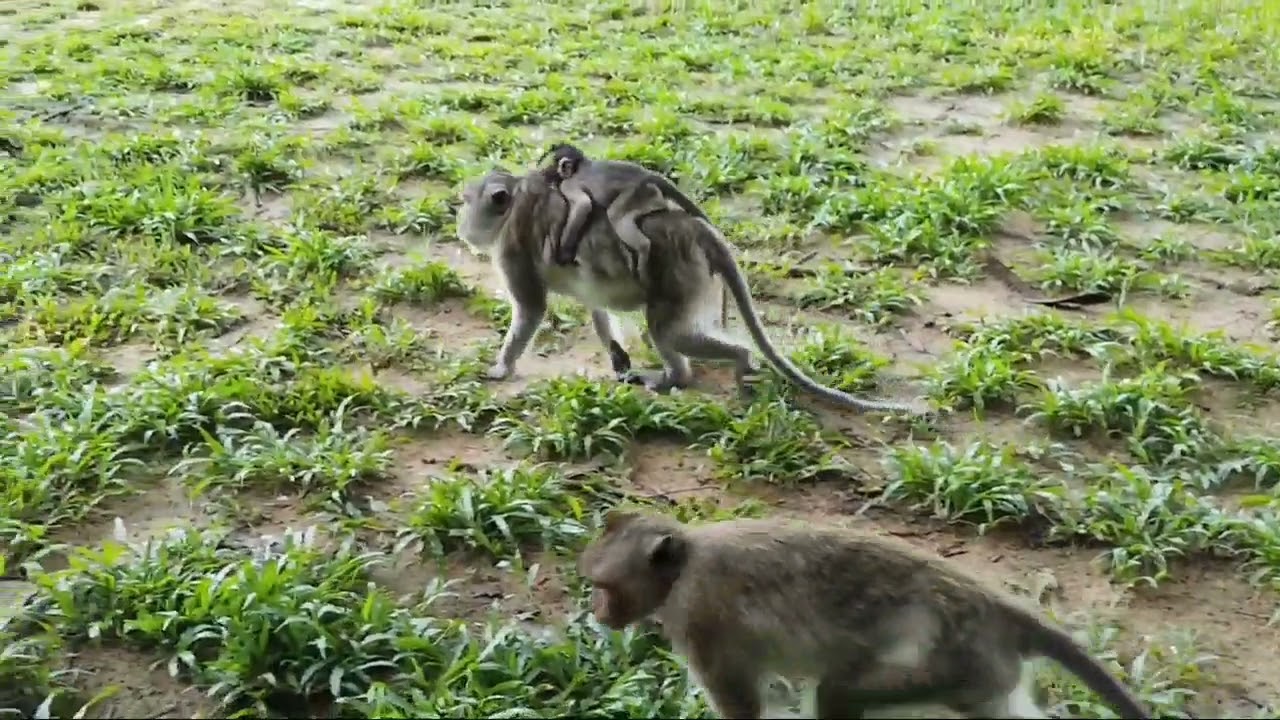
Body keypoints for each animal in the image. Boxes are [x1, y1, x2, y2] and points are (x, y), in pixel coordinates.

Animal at [455, 167, 929, 416]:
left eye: (466, 201)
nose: (457, 217)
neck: (517, 204)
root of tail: (696, 228)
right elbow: (597, 309)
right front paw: (617, 357)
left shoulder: (513, 250)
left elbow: (531, 309)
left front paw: (501, 368)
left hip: (681, 275)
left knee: (666, 332)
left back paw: (716, 366)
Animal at [577, 510, 1152, 720]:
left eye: (604, 588)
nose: (597, 611)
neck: (687, 560)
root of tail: (995, 609)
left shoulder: (699, 616)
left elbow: (744, 708)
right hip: (984, 676)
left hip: (944, 664)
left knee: (837, 696)